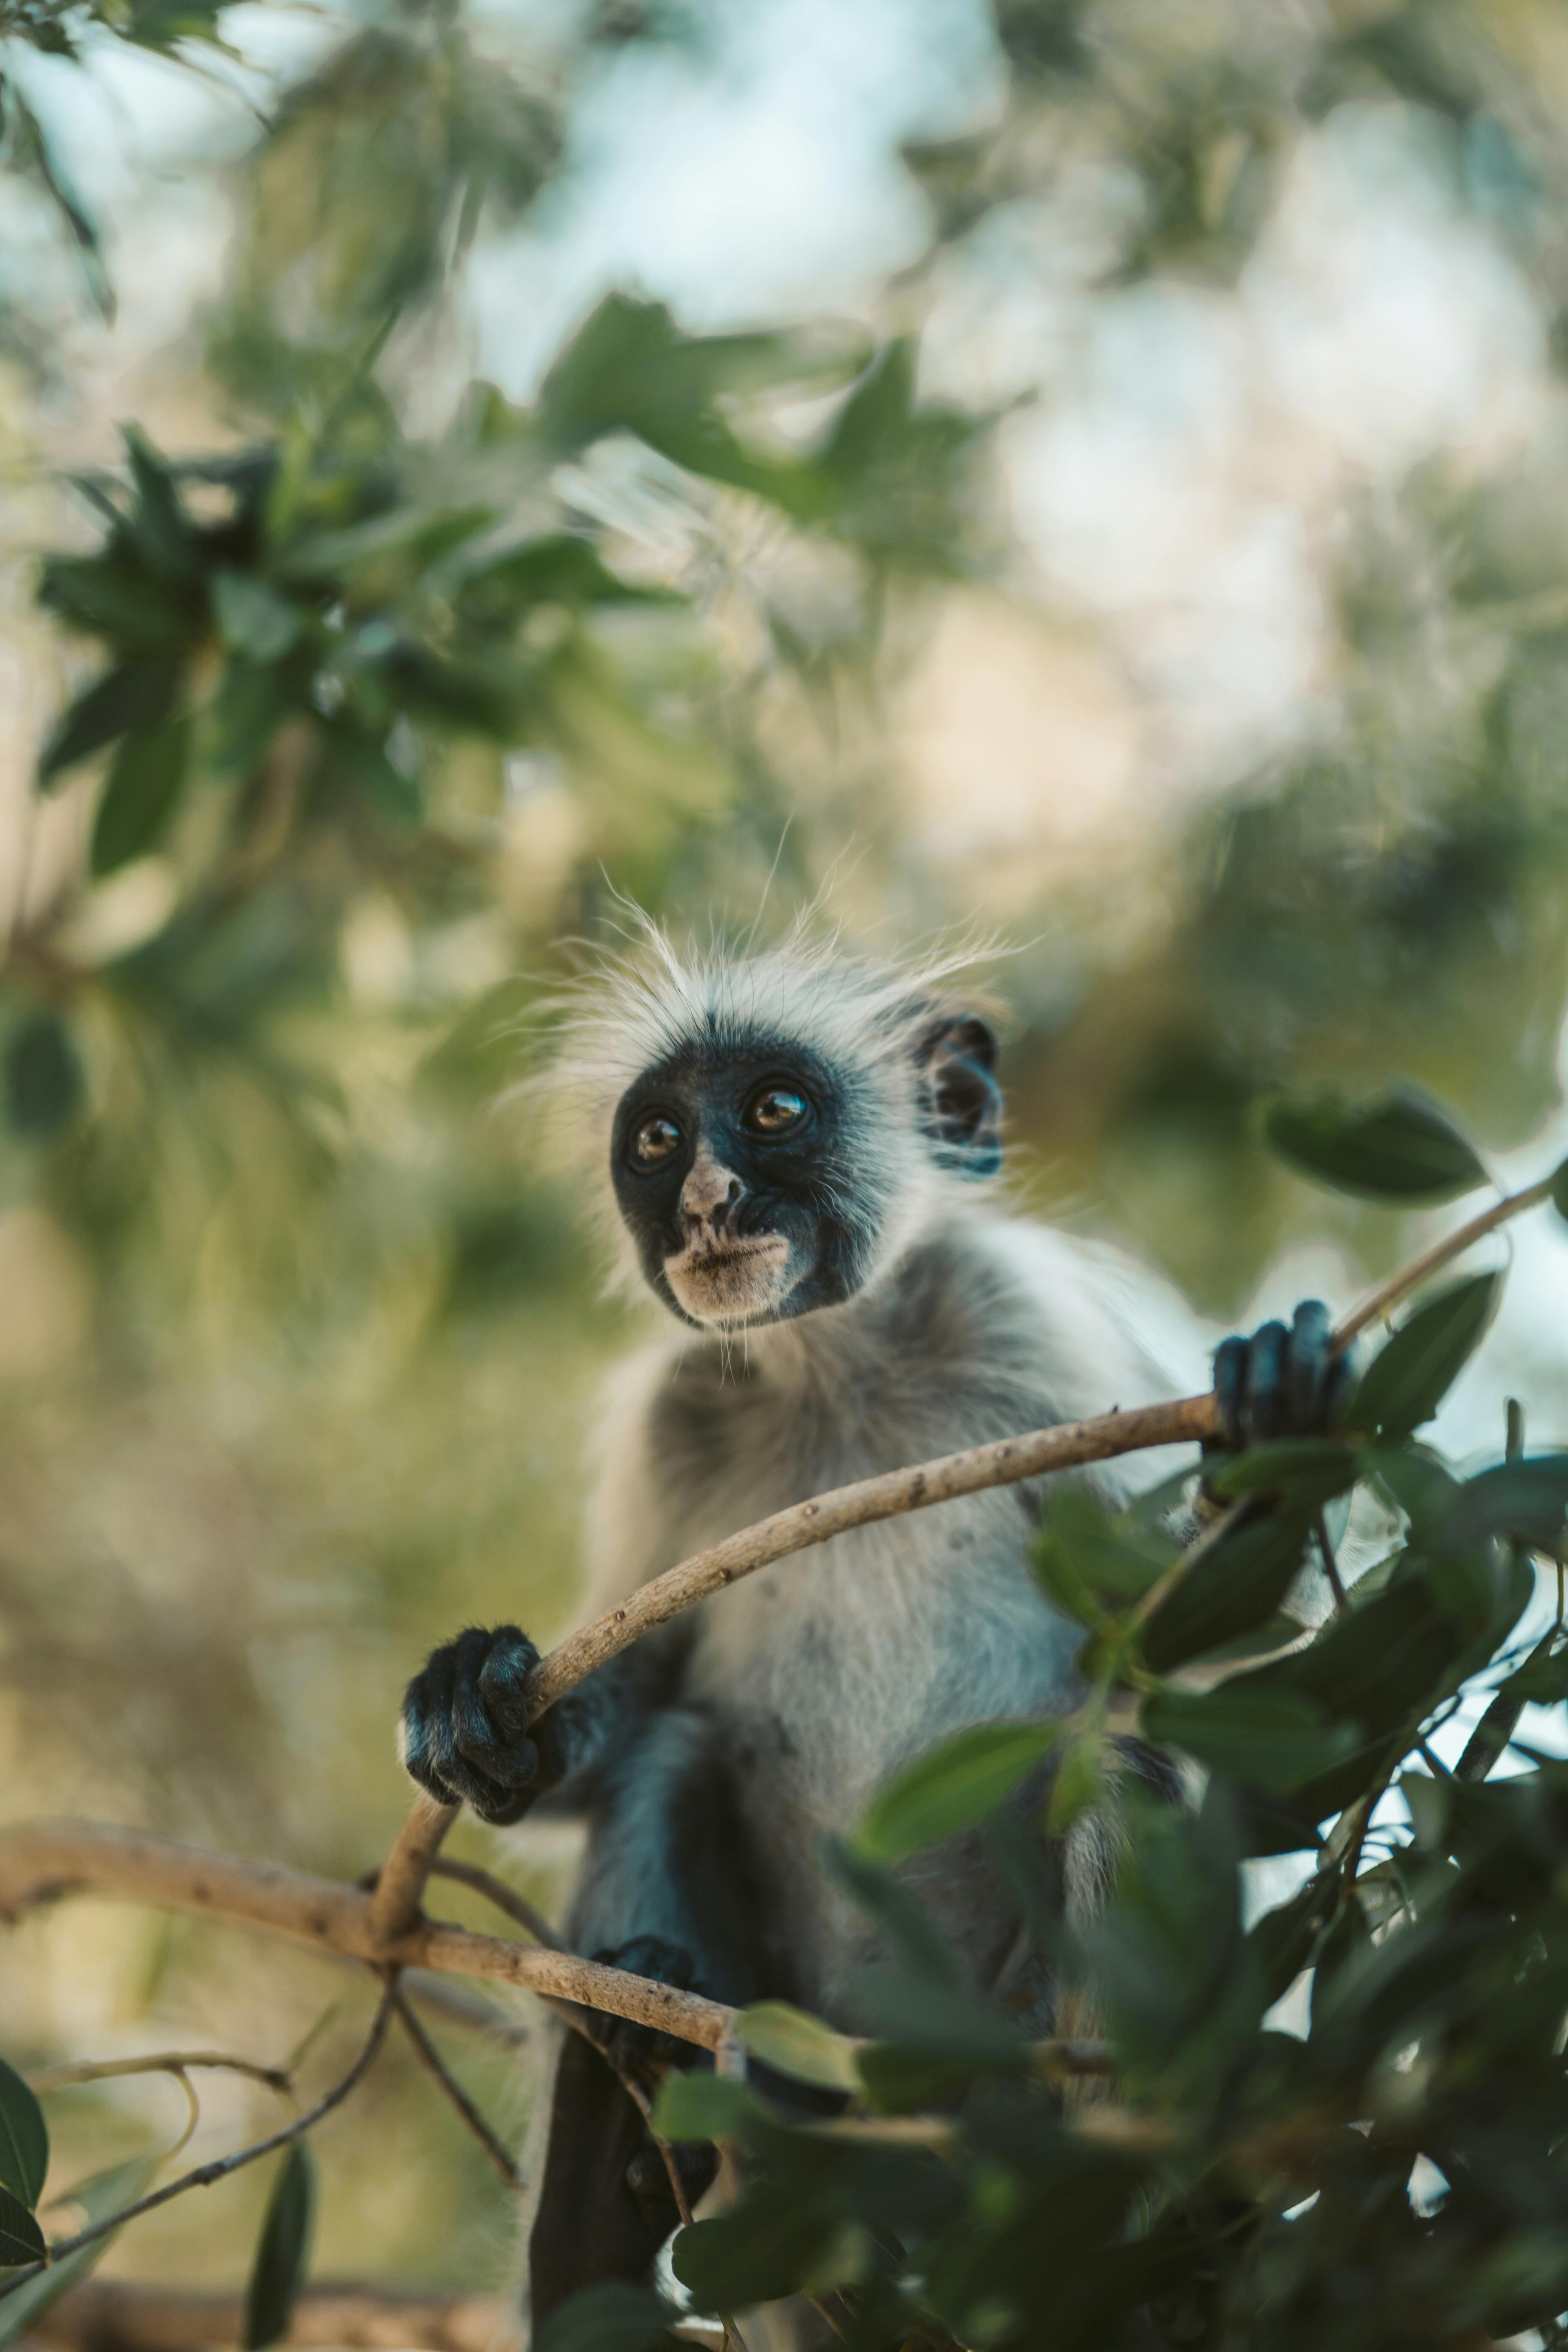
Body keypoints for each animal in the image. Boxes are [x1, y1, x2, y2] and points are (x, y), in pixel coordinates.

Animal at [396, 930, 1345, 2331]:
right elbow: (623, 1708)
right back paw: (594, 2228)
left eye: (774, 1110)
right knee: (673, 1755)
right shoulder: (679, 1414)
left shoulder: (1016, 1316)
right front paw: (487, 1702)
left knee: (1125, 1762)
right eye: (658, 1139)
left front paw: (1273, 1456)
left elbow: (1252, 1678)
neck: (834, 1368)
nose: (705, 1199)